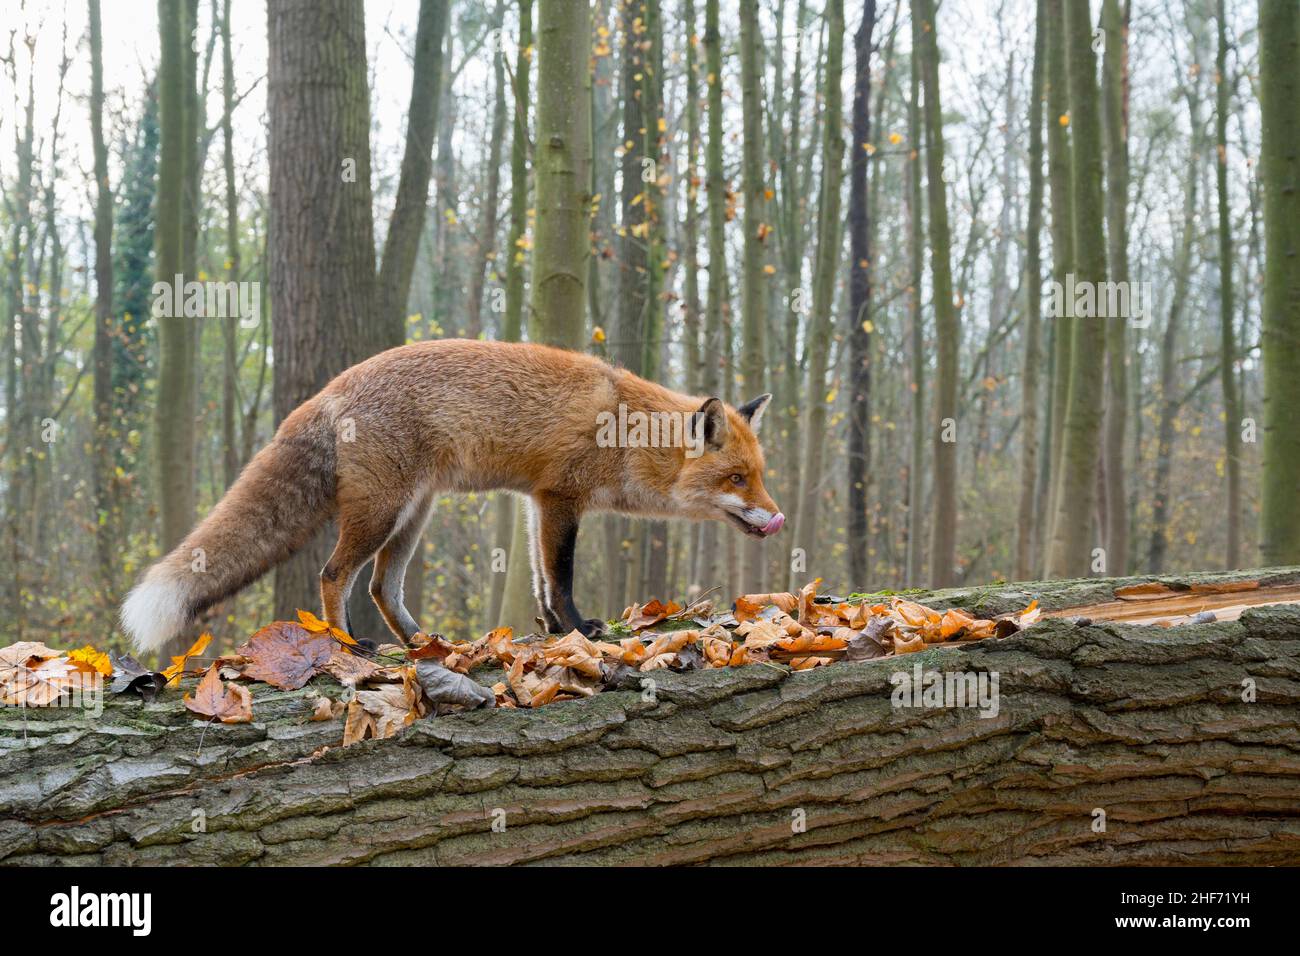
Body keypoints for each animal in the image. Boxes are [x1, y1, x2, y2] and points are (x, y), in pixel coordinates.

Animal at [121, 339, 784, 653]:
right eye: (736, 479)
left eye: (759, 473)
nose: (778, 519)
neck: (623, 431)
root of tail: (329, 389)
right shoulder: (560, 497)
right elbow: (561, 578)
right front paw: (577, 630)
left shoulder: (536, 501)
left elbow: (539, 579)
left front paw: (551, 629)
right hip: (382, 512)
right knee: (334, 575)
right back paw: (347, 646)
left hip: (413, 516)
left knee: (381, 587)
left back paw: (421, 643)